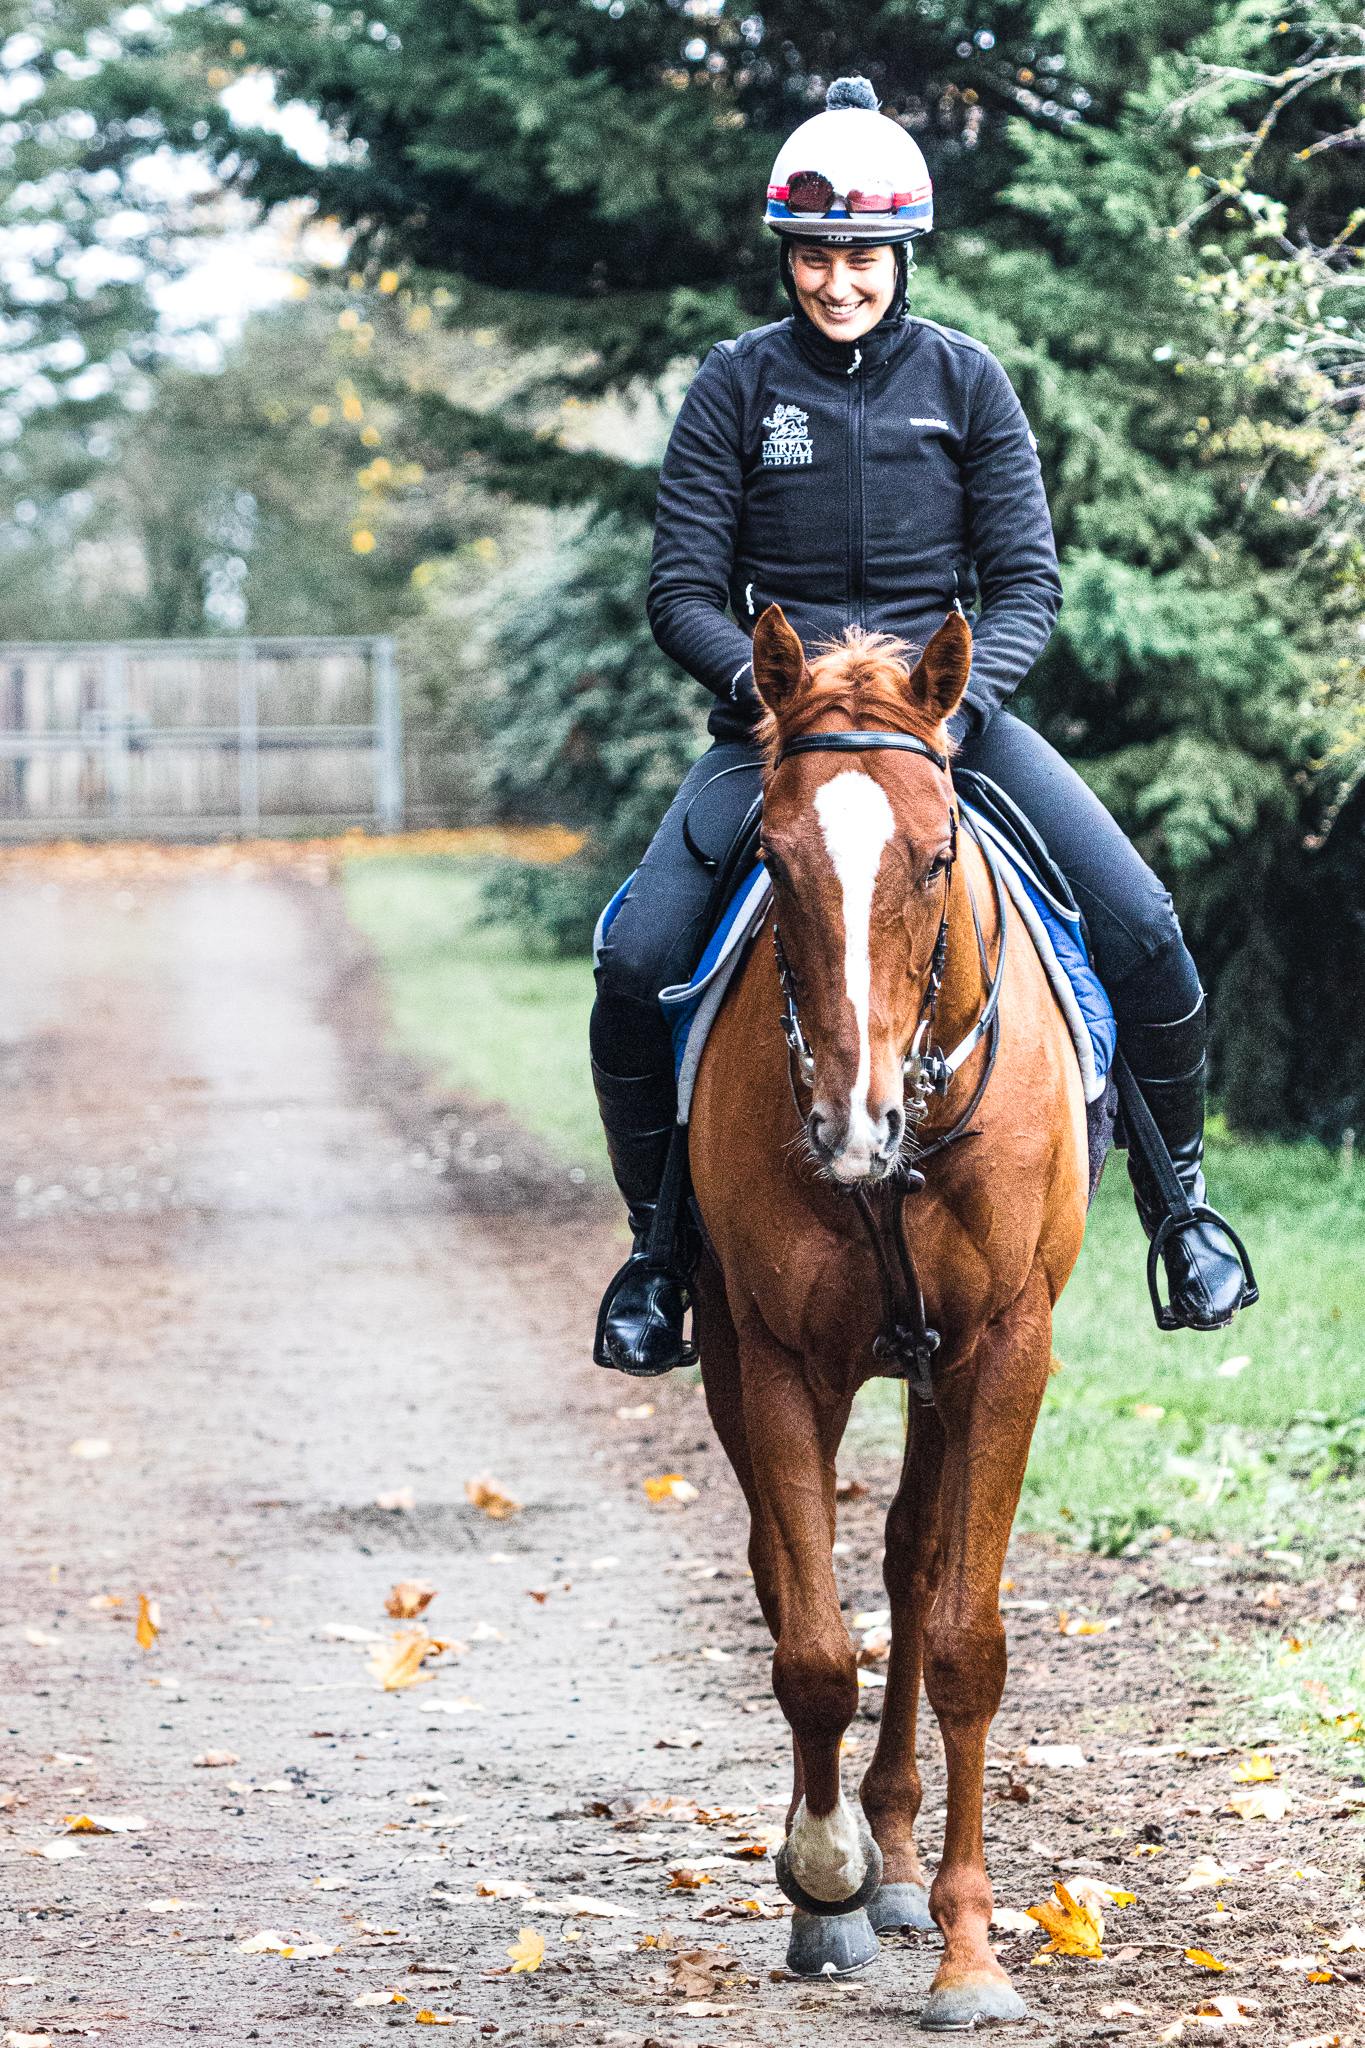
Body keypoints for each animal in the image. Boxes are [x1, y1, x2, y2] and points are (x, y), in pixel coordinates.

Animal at [687, 603, 1089, 2029]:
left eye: (933, 854)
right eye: (772, 855)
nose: (848, 1122)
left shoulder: (1006, 1348)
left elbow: (967, 1636)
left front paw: (972, 1952)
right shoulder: (775, 1356)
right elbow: (811, 1643)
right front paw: (822, 1877)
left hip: (937, 1370)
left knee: (915, 1561)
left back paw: (909, 1858)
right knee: (785, 1560)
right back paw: (861, 1868)